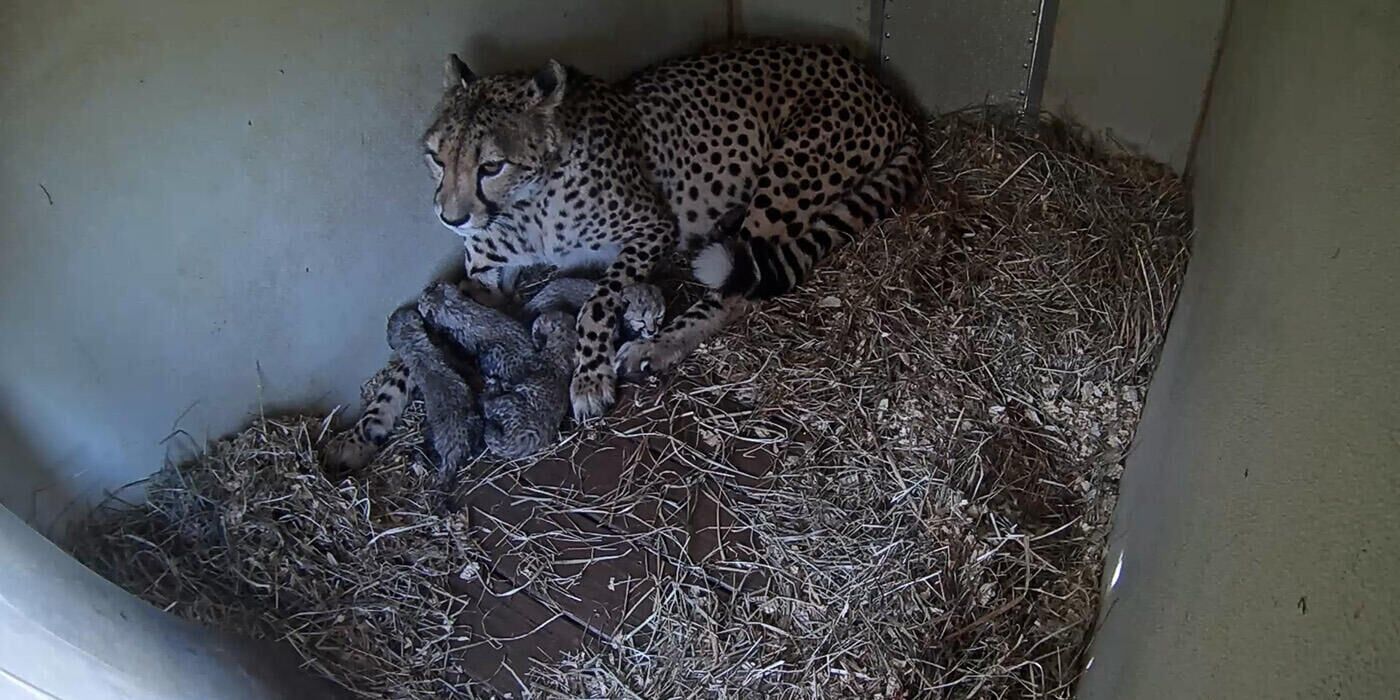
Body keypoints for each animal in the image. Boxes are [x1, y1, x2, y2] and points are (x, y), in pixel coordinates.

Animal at [324, 40, 922, 474]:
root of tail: (876, 81)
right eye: (435, 157)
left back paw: (657, 345)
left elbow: (598, 302)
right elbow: (412, 350)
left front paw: (588, 378)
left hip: (788, 176)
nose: (451, 218)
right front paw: (363, 430)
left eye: (491, 165)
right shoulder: (483, 280)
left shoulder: (651, 227)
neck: (529, 201)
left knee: (738, 289)